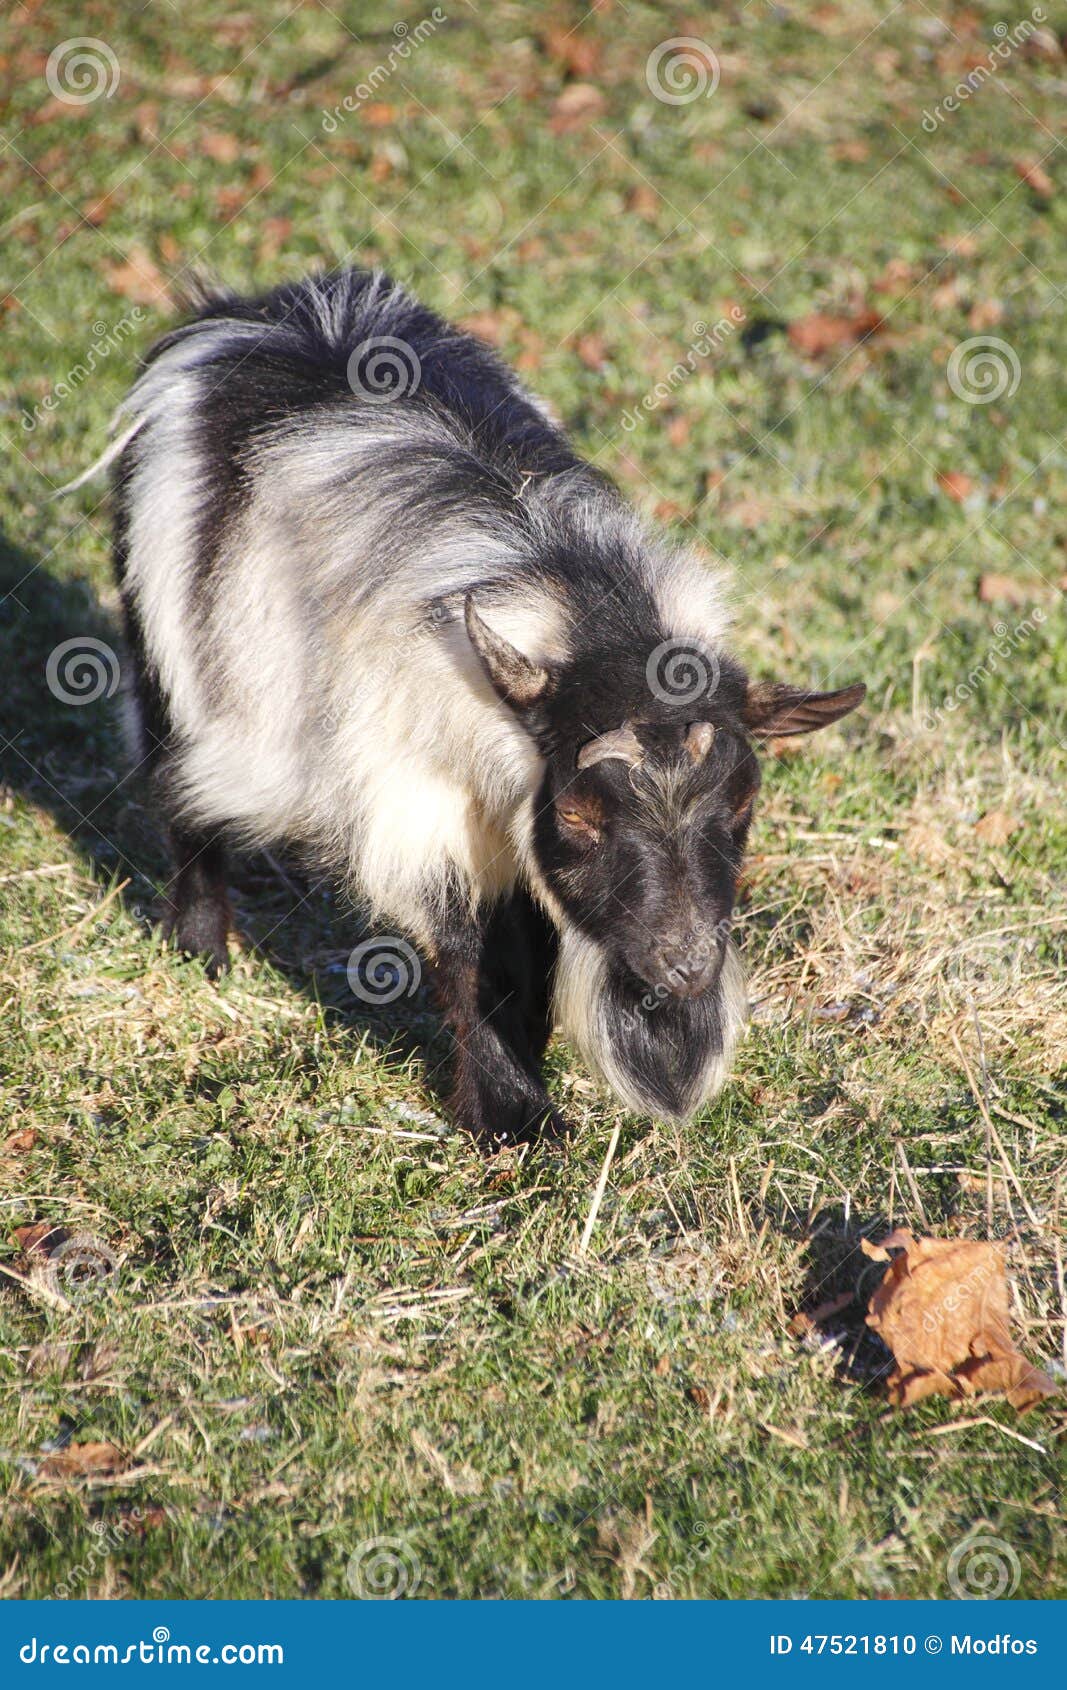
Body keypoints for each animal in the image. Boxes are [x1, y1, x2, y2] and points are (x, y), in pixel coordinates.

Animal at [77, 267, 864, 1145]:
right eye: (581, 815)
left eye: (741, 806)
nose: (684, 969)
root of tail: (248, 309)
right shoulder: (417, 805)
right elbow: (468, 951)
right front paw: (514, 1118)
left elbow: (535, 947)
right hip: (169, 652)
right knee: (181, 787)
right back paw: (201, 951)